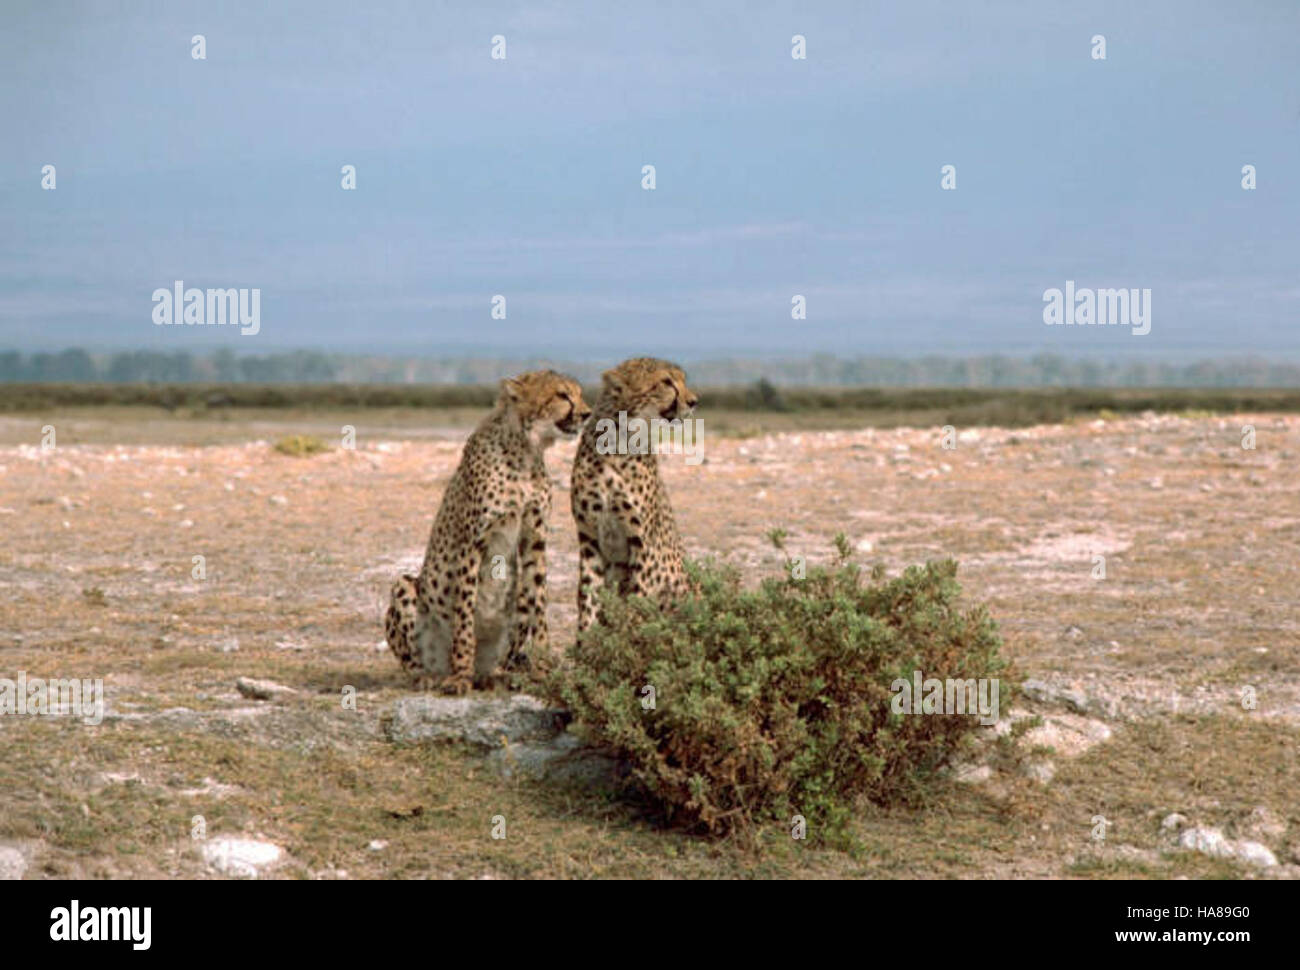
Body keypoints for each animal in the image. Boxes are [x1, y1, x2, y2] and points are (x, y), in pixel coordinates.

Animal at [385, 370, 591, 693]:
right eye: (562, 395)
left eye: (579, 394)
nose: (587, 413)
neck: (526, 448)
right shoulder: (473, 541)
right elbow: (465, 613)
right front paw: (460, 675)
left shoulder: (535, 539)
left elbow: (540, 605)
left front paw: (544, 667)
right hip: (405, 587)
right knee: (414, 661)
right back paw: (433, 676)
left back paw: (497, 675)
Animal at [570, 356, 700, 633]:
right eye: (667, 382)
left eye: (682, 380)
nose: (694, 401)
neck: (616, 443)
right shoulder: (589, 539)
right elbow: (588, 599)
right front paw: (587, 640)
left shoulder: (642, 543)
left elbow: (637, 600)